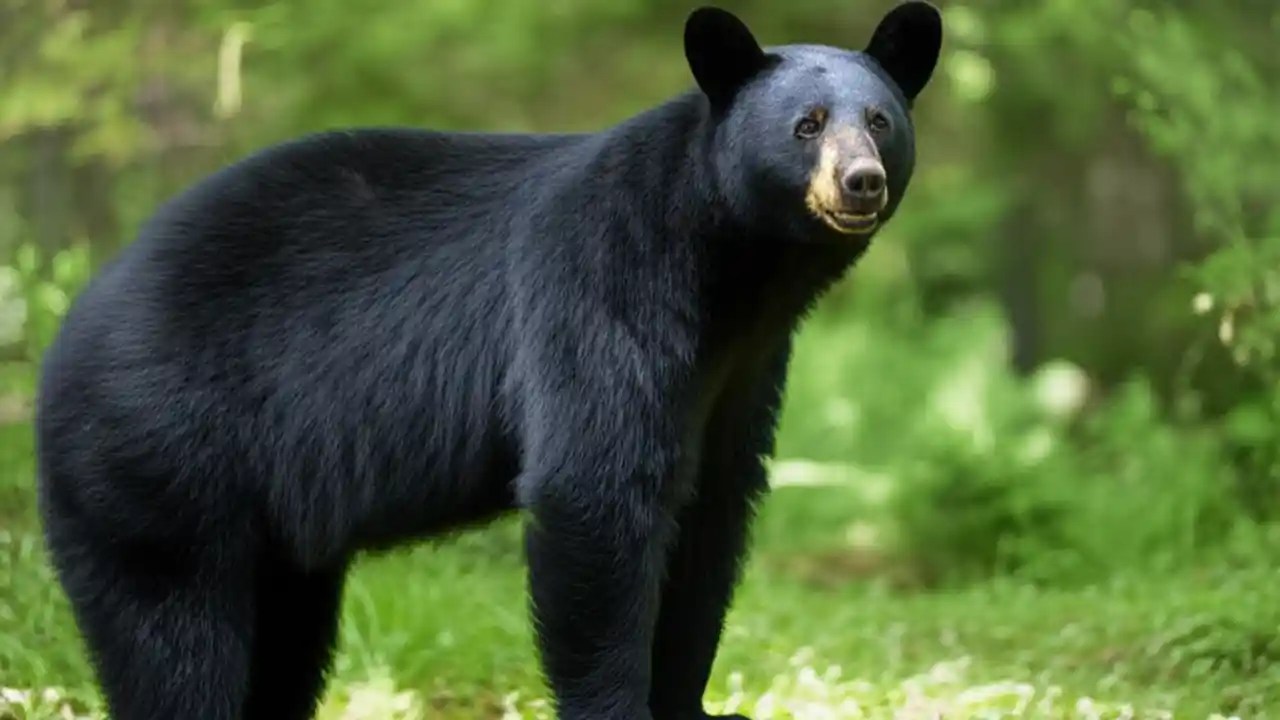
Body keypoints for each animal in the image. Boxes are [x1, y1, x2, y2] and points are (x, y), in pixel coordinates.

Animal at [33, 4, 941, 719]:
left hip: (269, 515)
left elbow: (709, 520)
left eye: (880, 120)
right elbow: (592, 492)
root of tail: (66, 334)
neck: (730, 269)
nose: (860, 182)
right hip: (161, 453)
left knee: (283, 638)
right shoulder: (599, 284)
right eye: (808, 123)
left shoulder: (738, 371)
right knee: (173, 637)